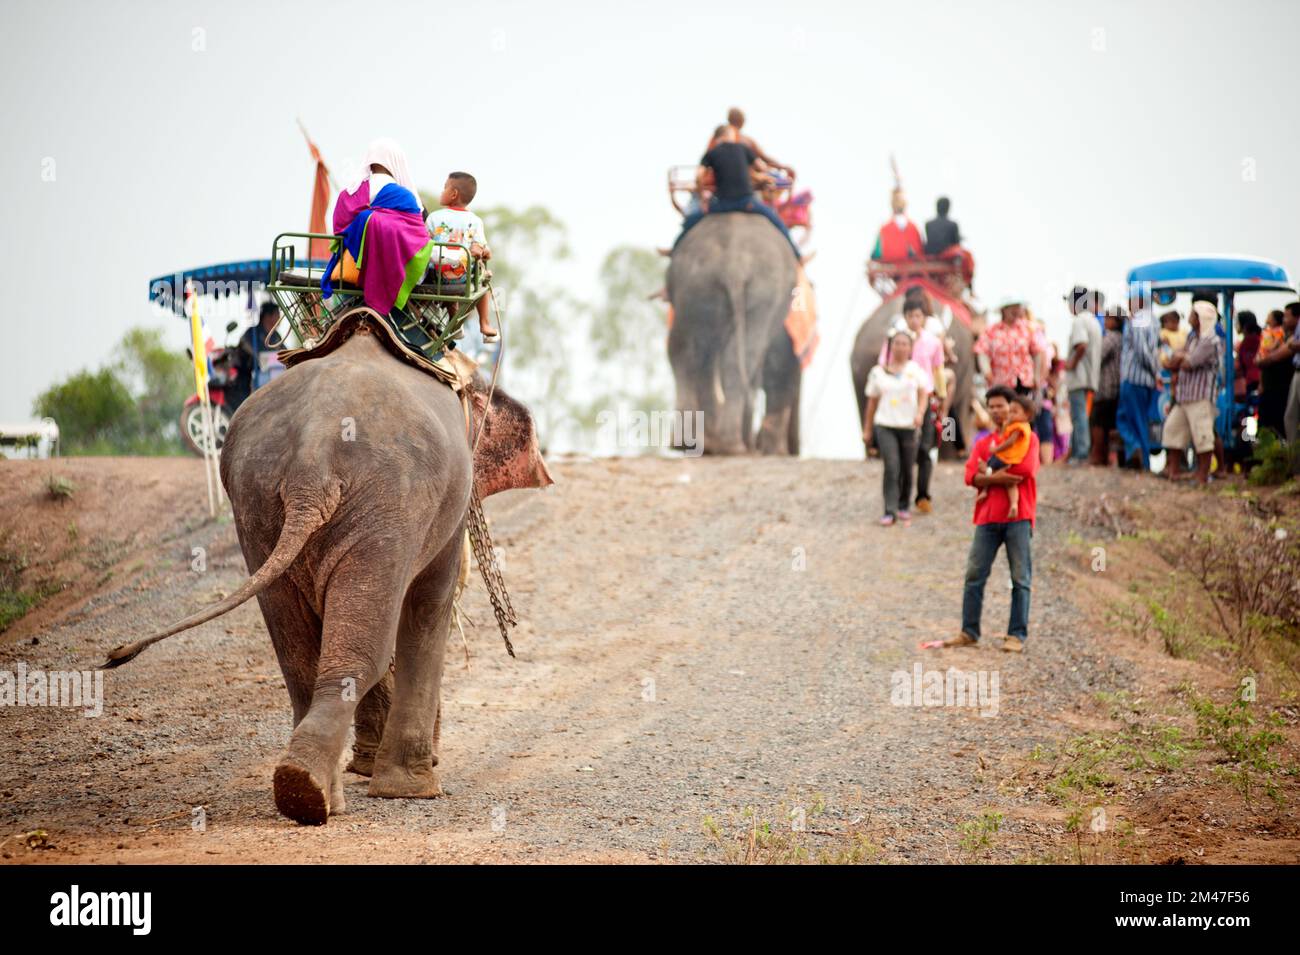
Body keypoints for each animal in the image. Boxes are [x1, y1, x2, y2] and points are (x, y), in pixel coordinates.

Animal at [106, 321, 552, 825]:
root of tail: (311, 458)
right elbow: (428, 605)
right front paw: (412, 787)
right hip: (385, 502)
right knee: (363, 649)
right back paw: (323, 791)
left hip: (259, 507)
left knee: (298, 652)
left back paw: (306, 791)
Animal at [667, 212, 801, 455]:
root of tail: (735, 264)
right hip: (760, 293)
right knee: (735, 357)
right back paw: (733, 445)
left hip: (699, 284)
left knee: (692, 352)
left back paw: (704, 443)